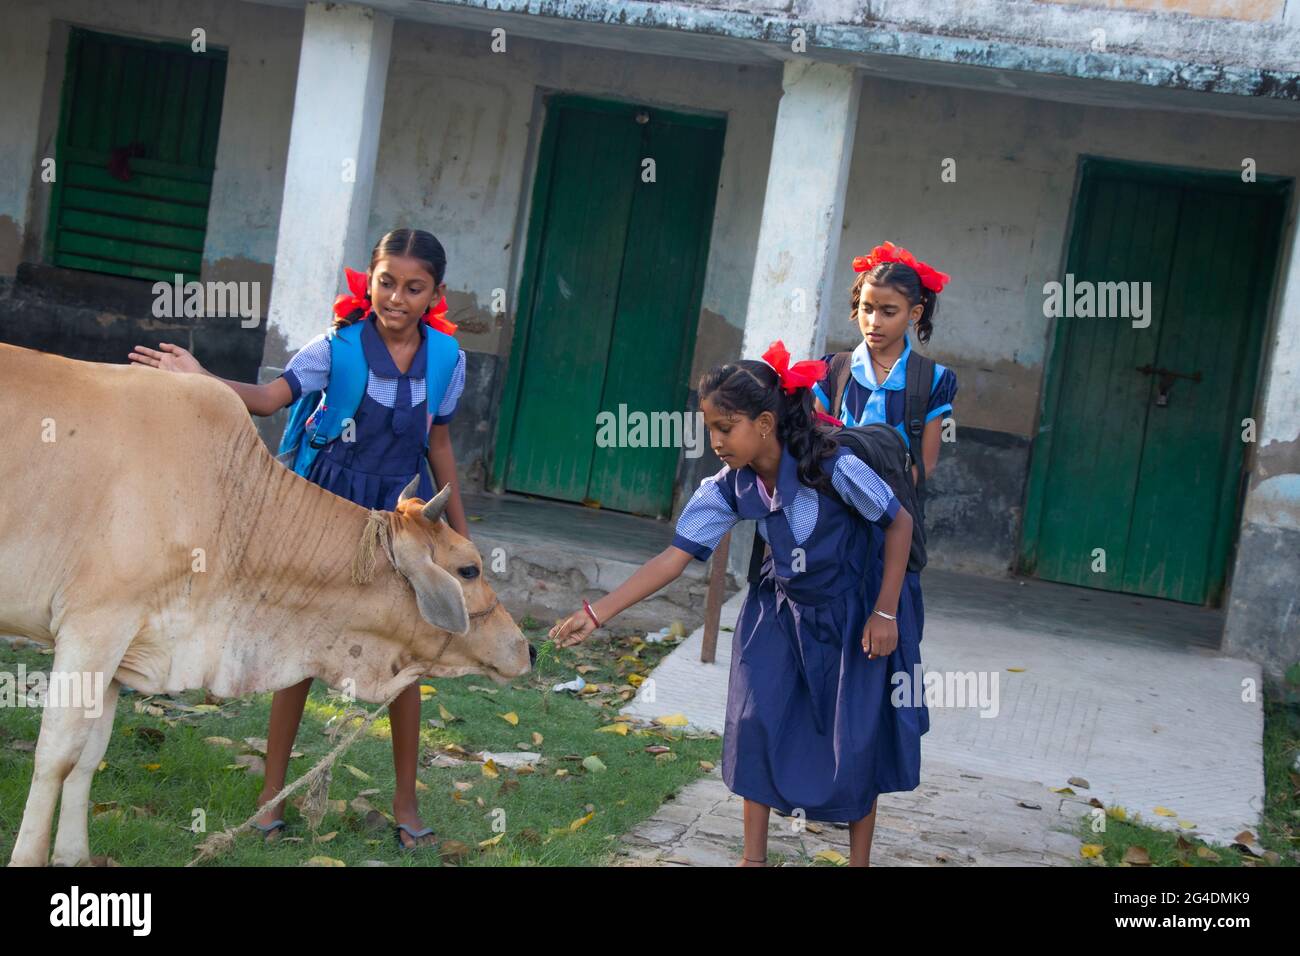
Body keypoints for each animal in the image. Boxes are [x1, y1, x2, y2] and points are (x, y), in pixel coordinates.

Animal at [0, 343, 532, 866]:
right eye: (469, 569)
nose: (527, 649)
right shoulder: (93, 626)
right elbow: (57, 754)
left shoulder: (125, 643)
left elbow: (90, 754)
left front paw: (73, 856)